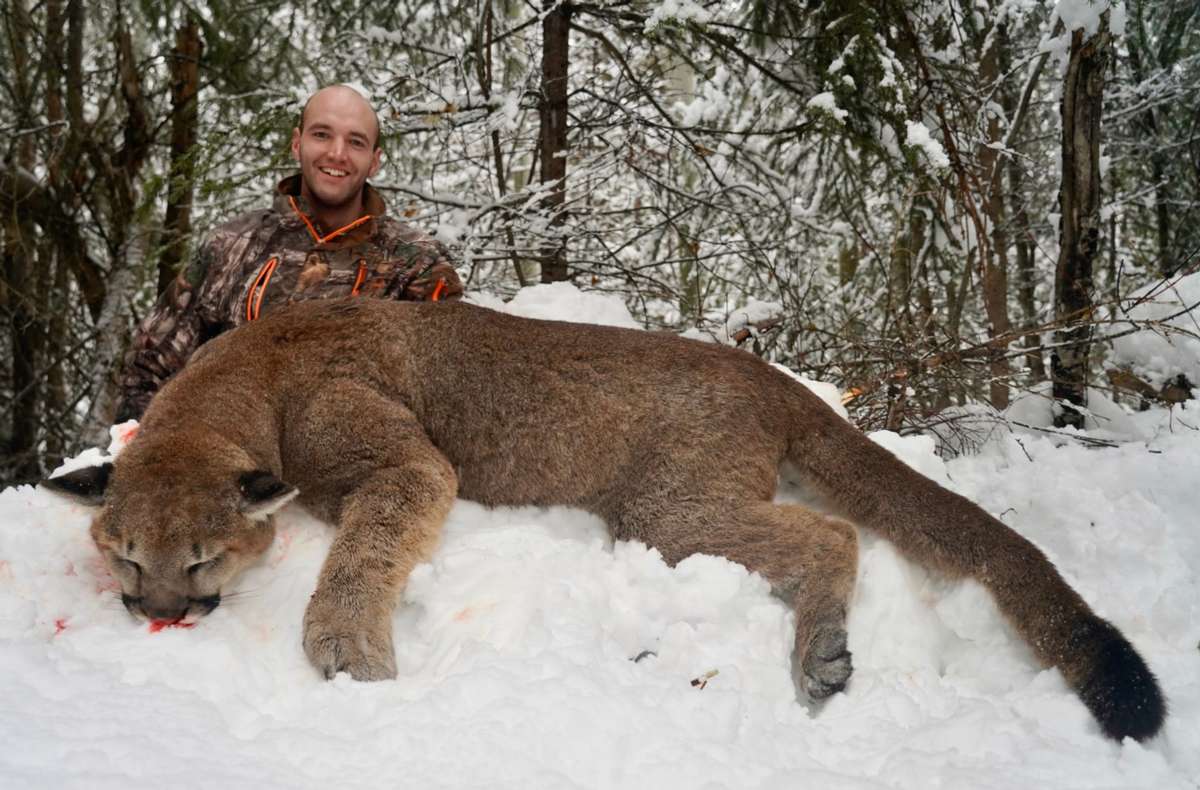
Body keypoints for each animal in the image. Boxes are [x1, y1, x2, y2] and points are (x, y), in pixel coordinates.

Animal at [42, 298, 1165, 741]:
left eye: (201, 560)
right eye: (126, 558)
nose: (162, 612)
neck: (243, 383)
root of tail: (761, 373)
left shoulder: (407, 456)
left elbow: (368, 540)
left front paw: (347, 642)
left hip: (665, 509)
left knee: (831, 533)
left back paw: (821, 654)